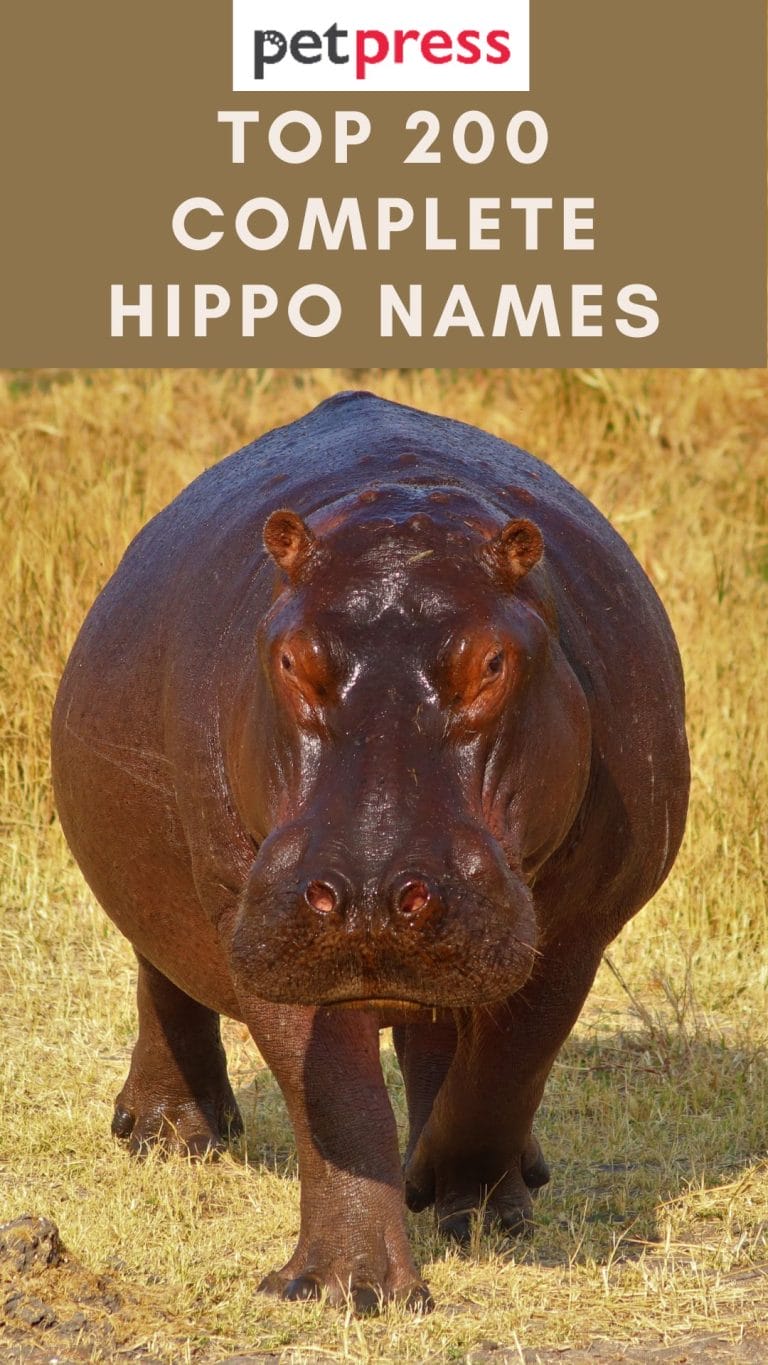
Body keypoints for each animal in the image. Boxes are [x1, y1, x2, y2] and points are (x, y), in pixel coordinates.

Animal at [51, 391, 689, 1311]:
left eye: (492, 661)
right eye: (289, 656)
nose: (371, 890)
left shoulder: (577, 931)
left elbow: (507, 1066)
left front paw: (467, 1200)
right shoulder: (259, 906)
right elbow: (335, 1099)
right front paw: (343, 1288)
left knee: (448, 1039)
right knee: (162, 968)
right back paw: (168, 1135)